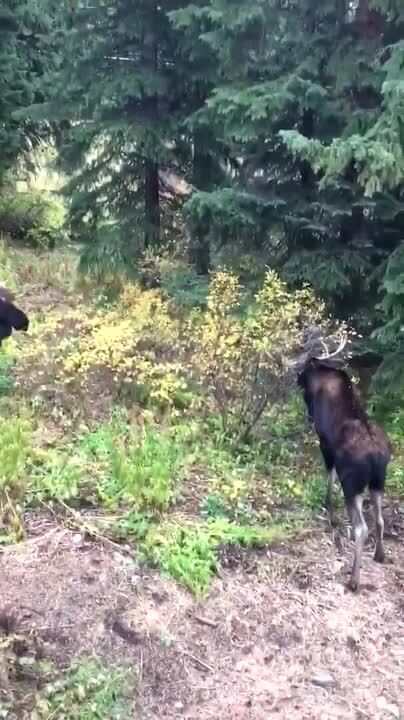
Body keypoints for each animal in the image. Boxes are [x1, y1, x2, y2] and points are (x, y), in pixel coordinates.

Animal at [294, 329, 390, 592]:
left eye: (304, 366)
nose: (296, 378)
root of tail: (377, 457)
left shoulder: (325, 445)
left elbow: (329, 477)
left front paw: (330, 511)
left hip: (353, 483)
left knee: (361, 528)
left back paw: (354, 580)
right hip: (378, 482)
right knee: (379, 519)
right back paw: (379, 555)